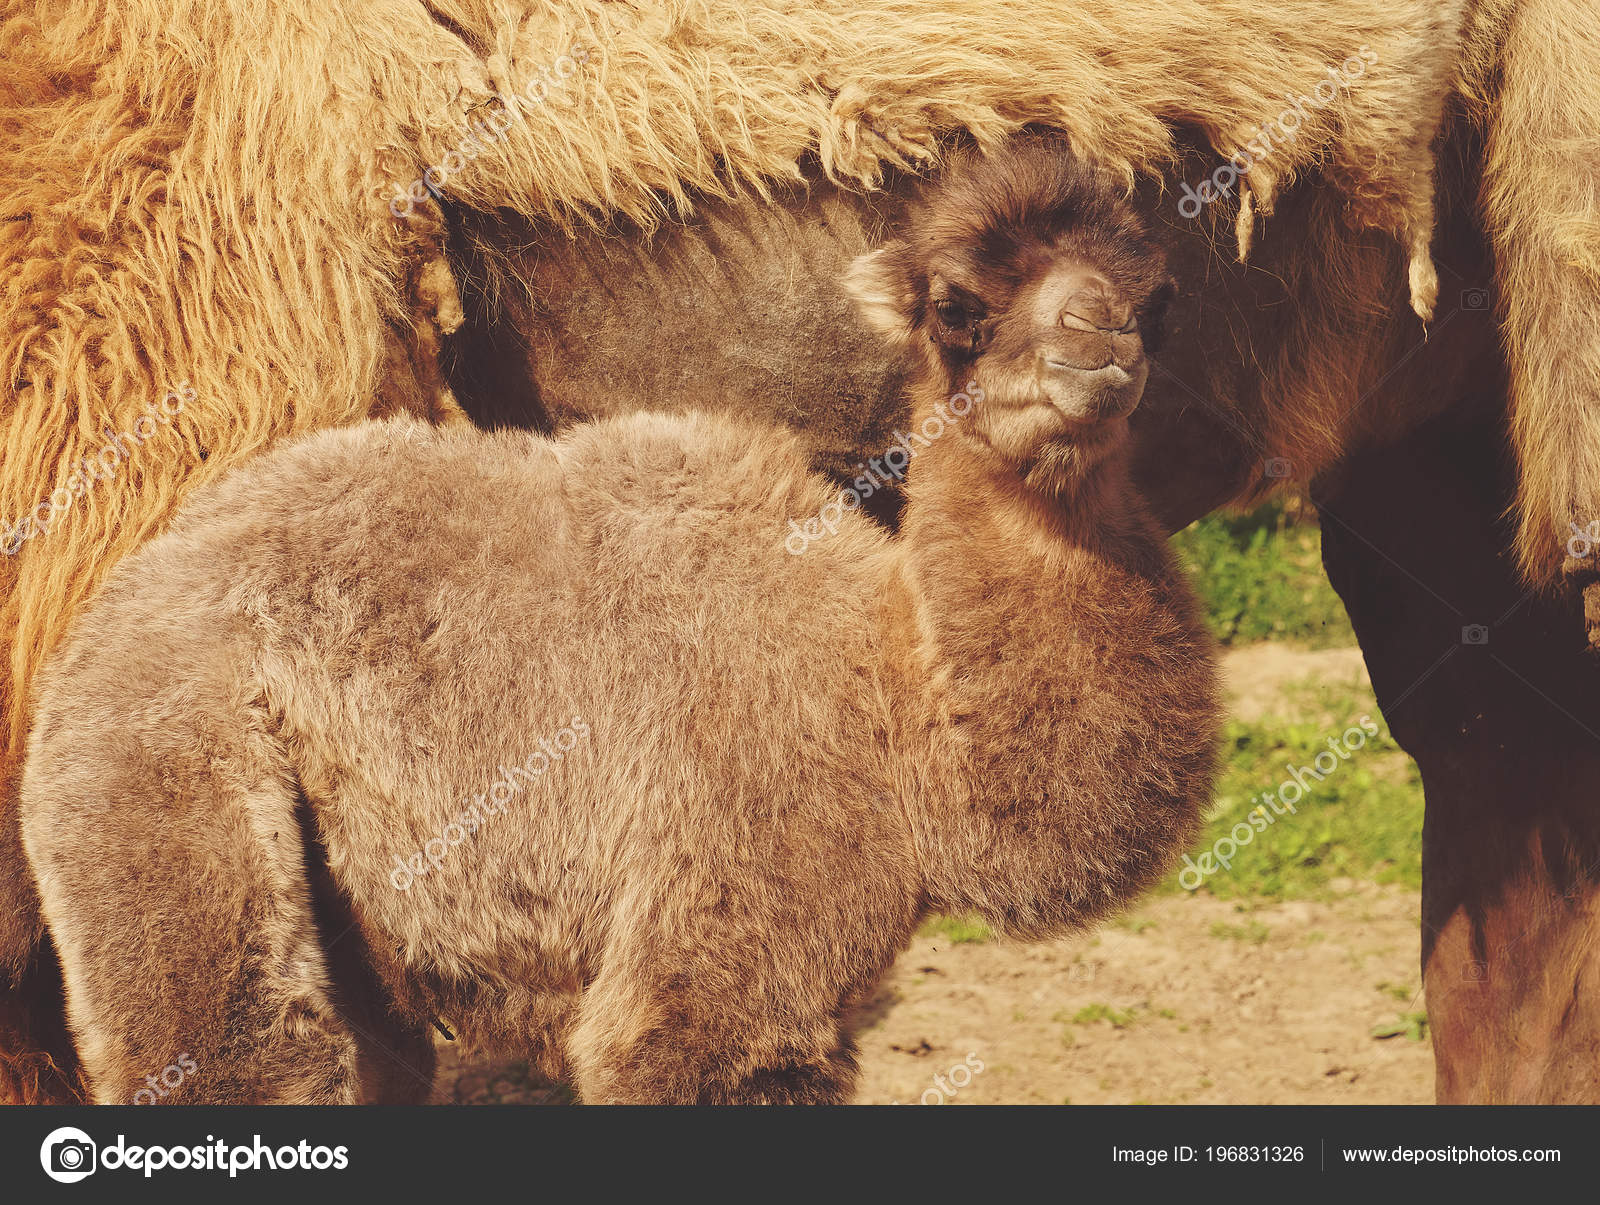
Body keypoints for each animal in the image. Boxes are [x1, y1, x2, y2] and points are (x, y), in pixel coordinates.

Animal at [18, 145, 1216, 1104]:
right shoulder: (735, 931)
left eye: (1155, 296)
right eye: (958, 306)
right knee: (241, 1049)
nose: (1100, 336)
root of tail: (119, 599)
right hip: (164, 766)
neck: (907, 727)